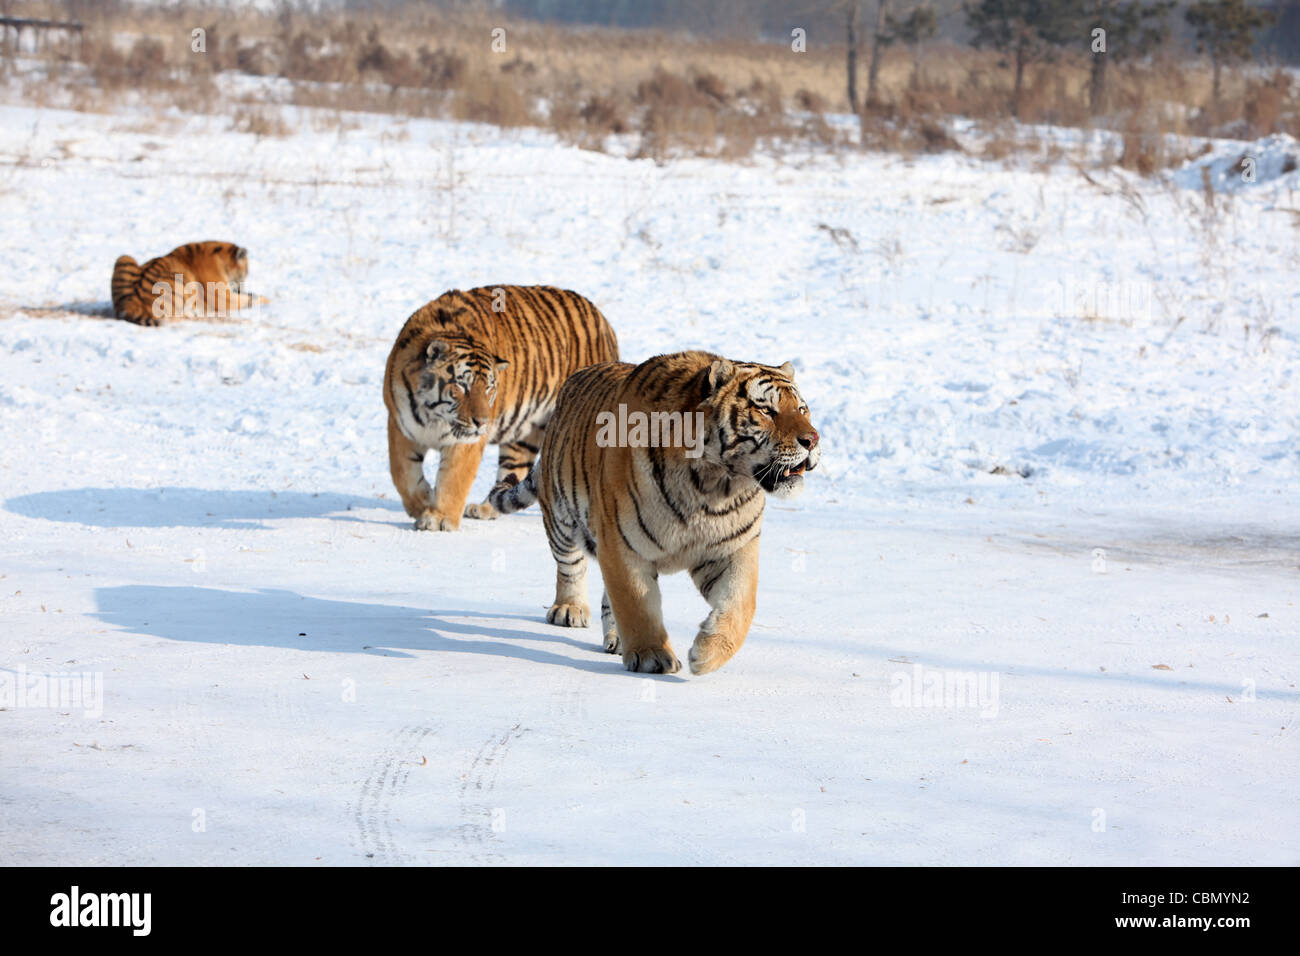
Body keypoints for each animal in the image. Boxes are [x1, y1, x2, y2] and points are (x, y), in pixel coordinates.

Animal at [111, 241, 268, 325]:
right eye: (245, 273)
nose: (241, 287)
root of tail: (132, 306)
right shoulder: (223, 297)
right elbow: (251, 298)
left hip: (124, 258)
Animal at [384, 285, 620, 532]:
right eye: (462, 385)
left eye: (488, 388)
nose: (482, 423)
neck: (434, 415)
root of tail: (601, 317)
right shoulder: (401, 426)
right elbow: (402, 474)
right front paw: (422, 504)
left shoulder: (465, 442)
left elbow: (453, 480)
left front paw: (439, 518)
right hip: (525, 432)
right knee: (514, 472)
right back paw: (486, 509)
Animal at [489, 350, 820, 676]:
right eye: (767, 411)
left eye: (802, 409)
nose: (812, 440)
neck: (714, 486)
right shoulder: (622, 544)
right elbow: (636, 603)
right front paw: (652, 657)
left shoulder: (733, 548)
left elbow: (741, 604)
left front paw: (707, 653)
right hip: (561, 516)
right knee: (570, 565)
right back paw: (569, 609)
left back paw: (616, 640)